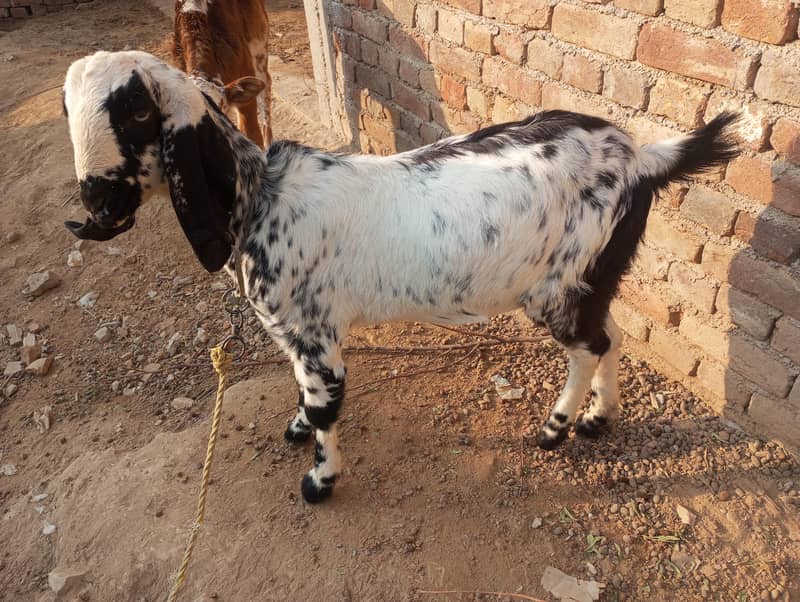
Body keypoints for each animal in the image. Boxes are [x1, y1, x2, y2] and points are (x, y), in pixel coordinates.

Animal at [62, 51, 739, 503]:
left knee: (589, 345)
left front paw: (320, 479)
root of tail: (643, 156)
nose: (95, 203)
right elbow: (304, 398)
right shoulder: (296, 337)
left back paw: (556, 428)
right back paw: (599, 418)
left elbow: (327, 405)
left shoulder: (317, 338)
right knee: (613, 335)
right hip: (595, 274)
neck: (260, 199)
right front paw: (297, 428)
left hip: (557, 288)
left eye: (134, 110)